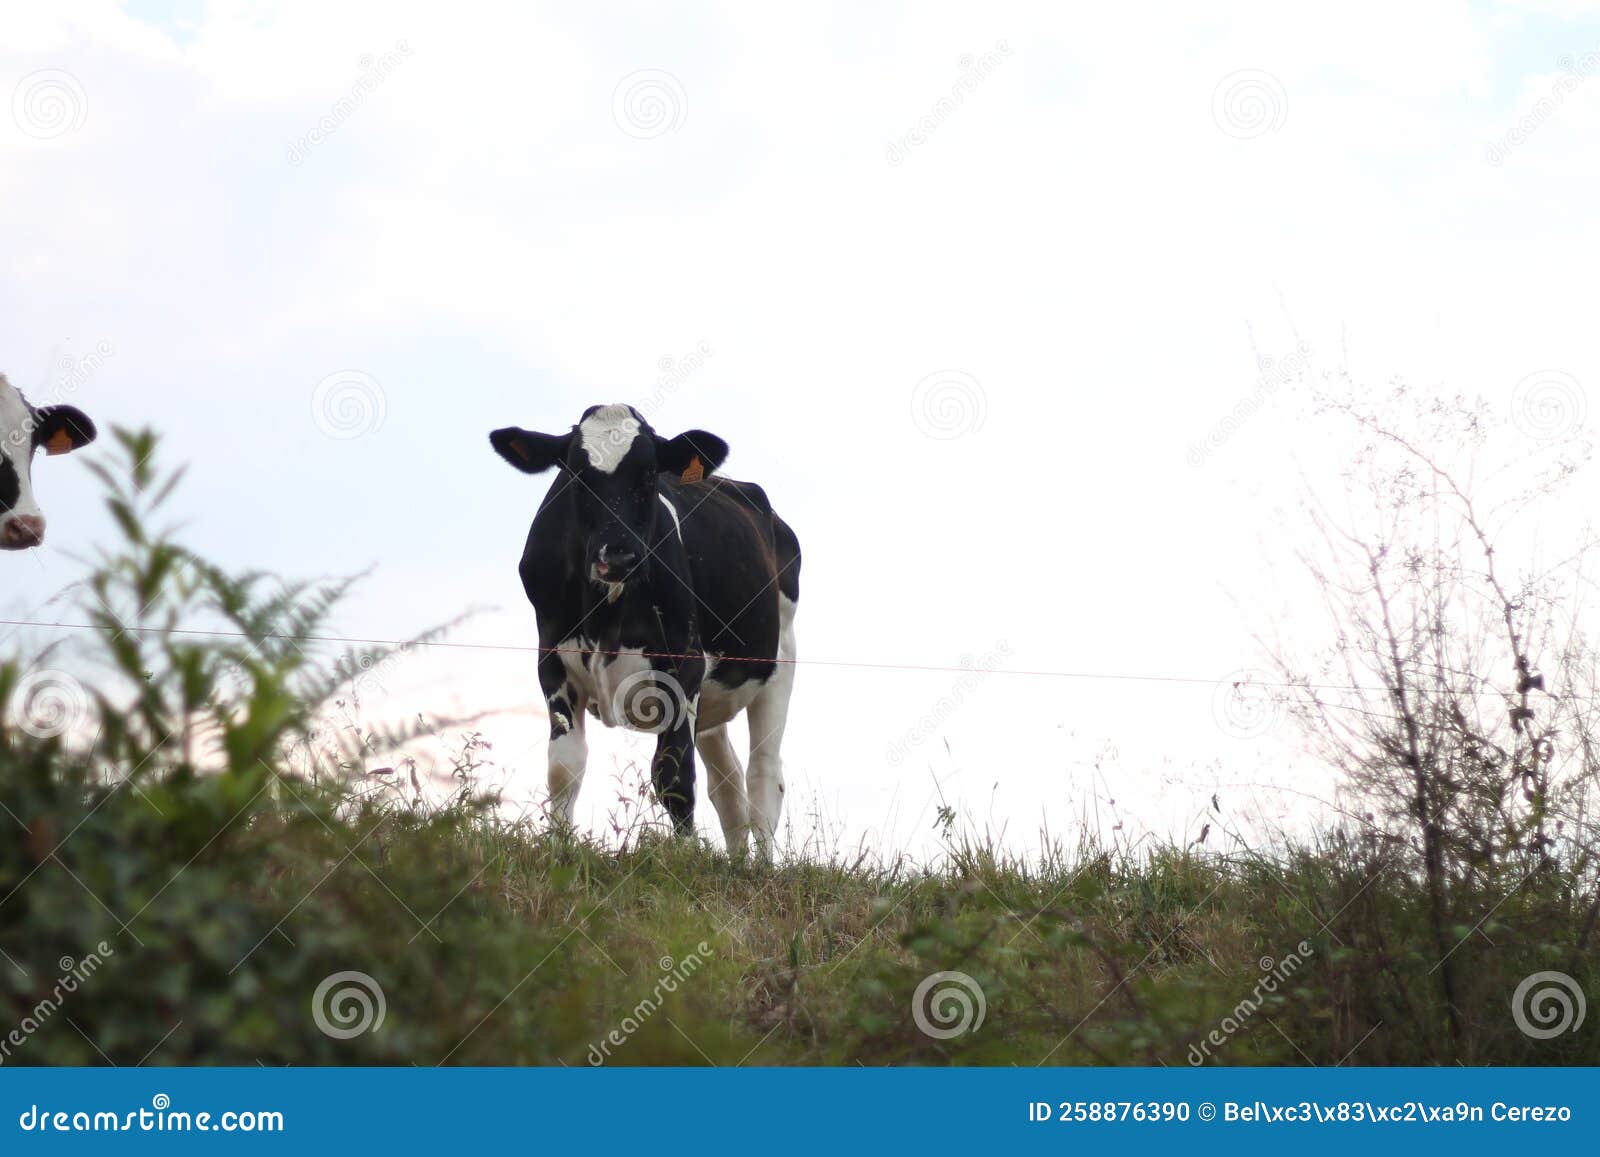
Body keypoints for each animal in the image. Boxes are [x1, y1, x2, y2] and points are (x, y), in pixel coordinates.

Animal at [489, 404, 800, 856]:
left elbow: (673, 774)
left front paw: (686, 857)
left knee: (763, 774)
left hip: (780, 658)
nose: (618, 555)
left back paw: (761, 865)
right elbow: (564, 768)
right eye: (576, 475)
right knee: (727, 783)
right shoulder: (552, 662)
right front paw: (560, 849)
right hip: (715, 697)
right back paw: (738, 862)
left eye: (651, 474)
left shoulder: (684, 663)